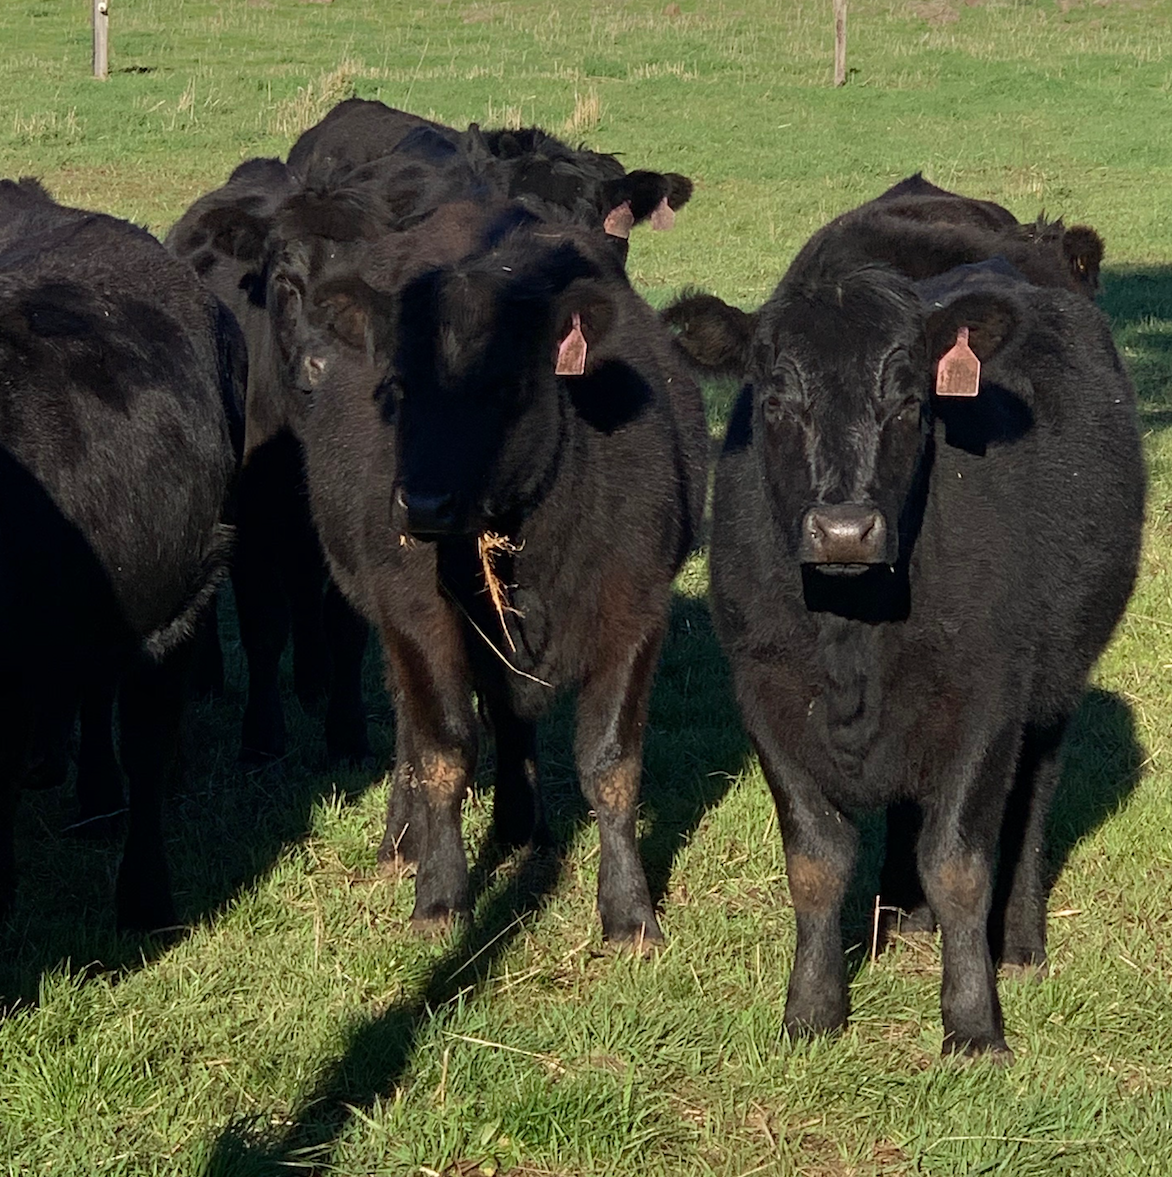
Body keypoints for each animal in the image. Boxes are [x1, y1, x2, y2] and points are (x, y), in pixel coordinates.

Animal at [263, 201, 708, 942]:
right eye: (396, 389)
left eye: (506, 388)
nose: (423, 503)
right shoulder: (414, 613)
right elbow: (443, 749)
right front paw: (440, 896)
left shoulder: (637, 605)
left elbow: (612, 763)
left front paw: (629, 911)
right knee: (413, 731)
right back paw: (403, 841)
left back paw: (520, 825)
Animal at [668, 225, 1144, 1058]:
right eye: (774, 398)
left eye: (911, 401)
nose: (844, 529)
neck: (852, 630)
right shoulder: (765, 697)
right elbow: (816, 861)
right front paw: (812, 1011)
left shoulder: (987, 699)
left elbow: (958, 862)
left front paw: (973, 1023)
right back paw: (902, 915)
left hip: (1055, 686)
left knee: (1033, 801)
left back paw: (1019, 943)